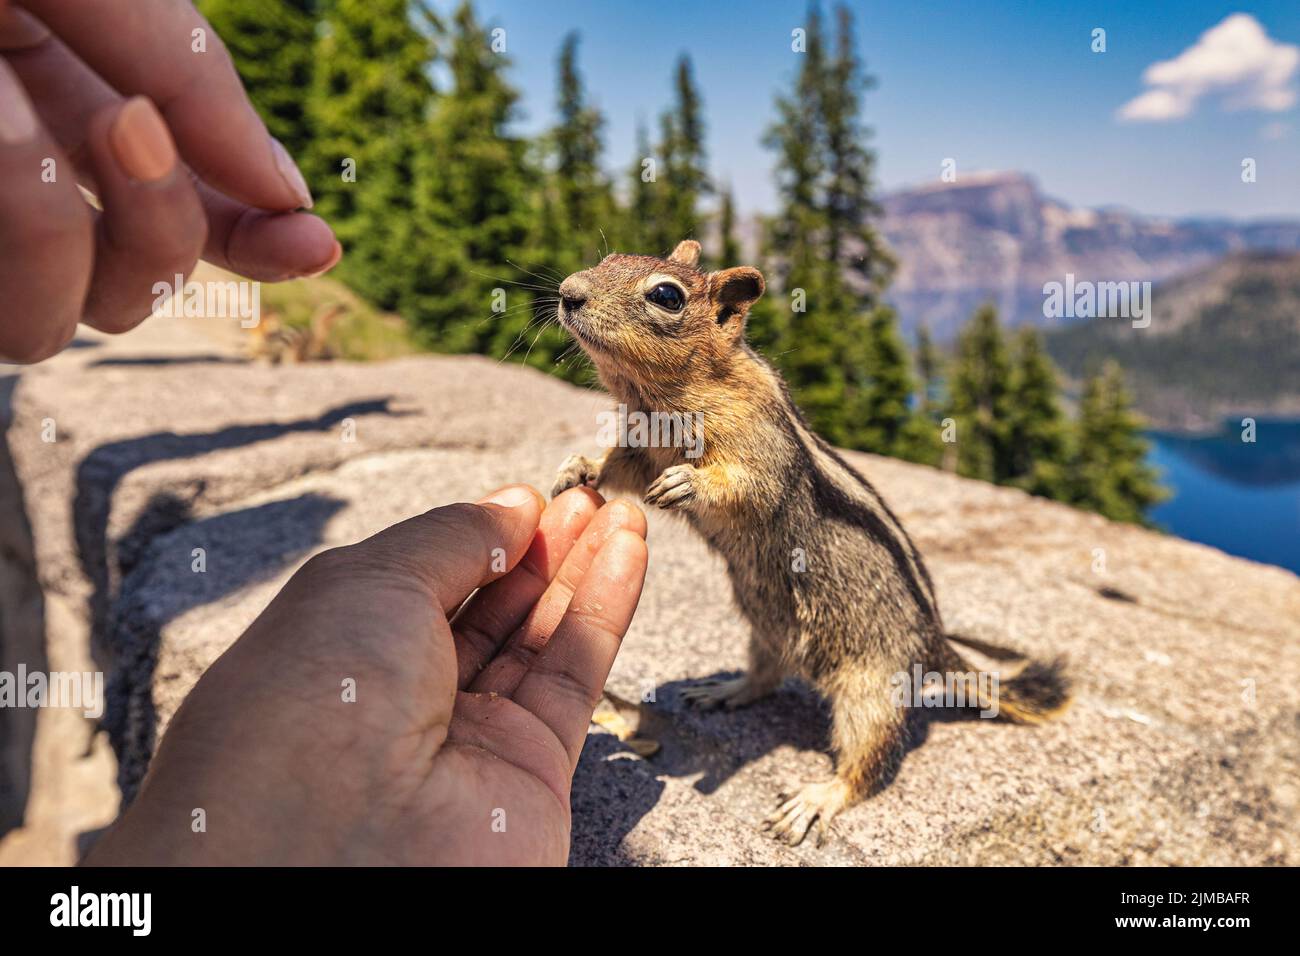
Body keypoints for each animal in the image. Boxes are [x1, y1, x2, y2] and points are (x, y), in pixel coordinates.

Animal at [551, 239, 1071, 847]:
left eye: (666, 296)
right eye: (609, 259)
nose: (567, 292)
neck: (660, 398)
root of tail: (934, 642)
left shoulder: (760, 446)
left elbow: (746, 485)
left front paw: (688, 483)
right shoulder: (639, 448)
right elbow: (618, 466)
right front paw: (577, 467)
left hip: (871, 689)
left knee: (869, 761)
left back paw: (817, 798)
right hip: (765, 627)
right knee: (767, 675)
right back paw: (725, 689)